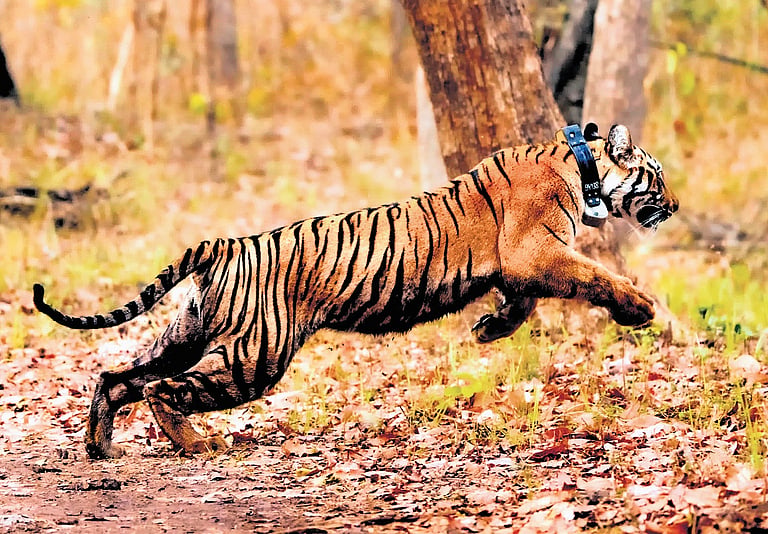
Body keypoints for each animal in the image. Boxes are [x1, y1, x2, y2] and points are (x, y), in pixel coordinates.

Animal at [33, 123, 678, 459]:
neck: (582, 165)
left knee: (117, 375)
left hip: (187, 333)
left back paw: (100, 447)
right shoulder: (535, 252)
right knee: (161, 389)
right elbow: (593, 276)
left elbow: (523, 303)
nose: (673, 206)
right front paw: (639, 308)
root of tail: (225, 244)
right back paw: (193, 443)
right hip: (255, 356)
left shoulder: (521, 267)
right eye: (658, 176)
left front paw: (489, 328)